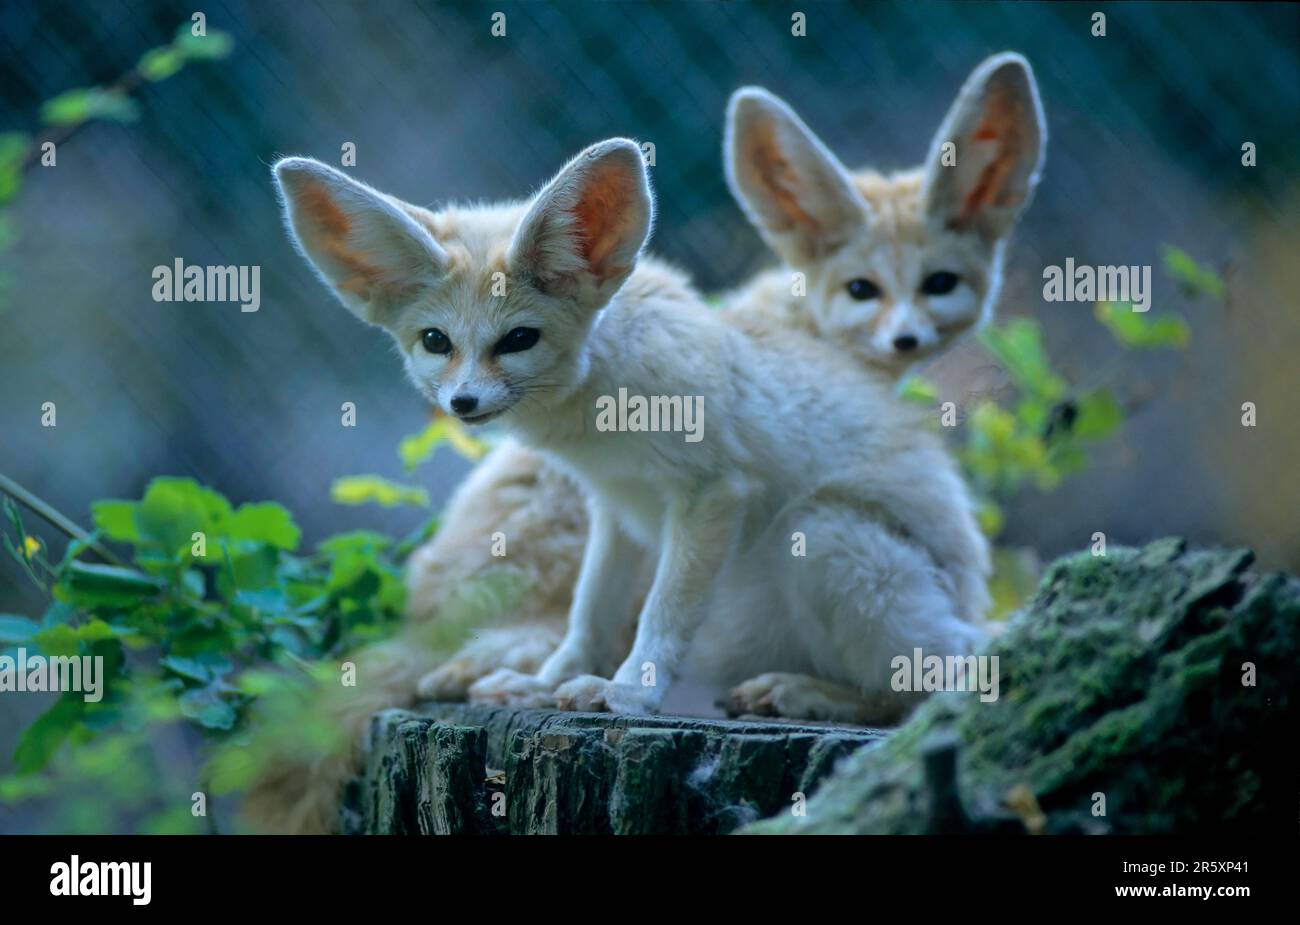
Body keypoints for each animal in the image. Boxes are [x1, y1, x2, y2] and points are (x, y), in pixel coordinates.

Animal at [244, 53, 1044, 833]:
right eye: (435, 342)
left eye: (519, 340)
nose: (462, 403)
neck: (596, 411)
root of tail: (973, 609)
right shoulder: (615, 508)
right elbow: (588, 615)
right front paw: (549, 682)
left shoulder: (712, 493)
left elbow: (664, 613)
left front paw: (627, 693)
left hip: (825, 537)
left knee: (939, 685)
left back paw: (805, 692)